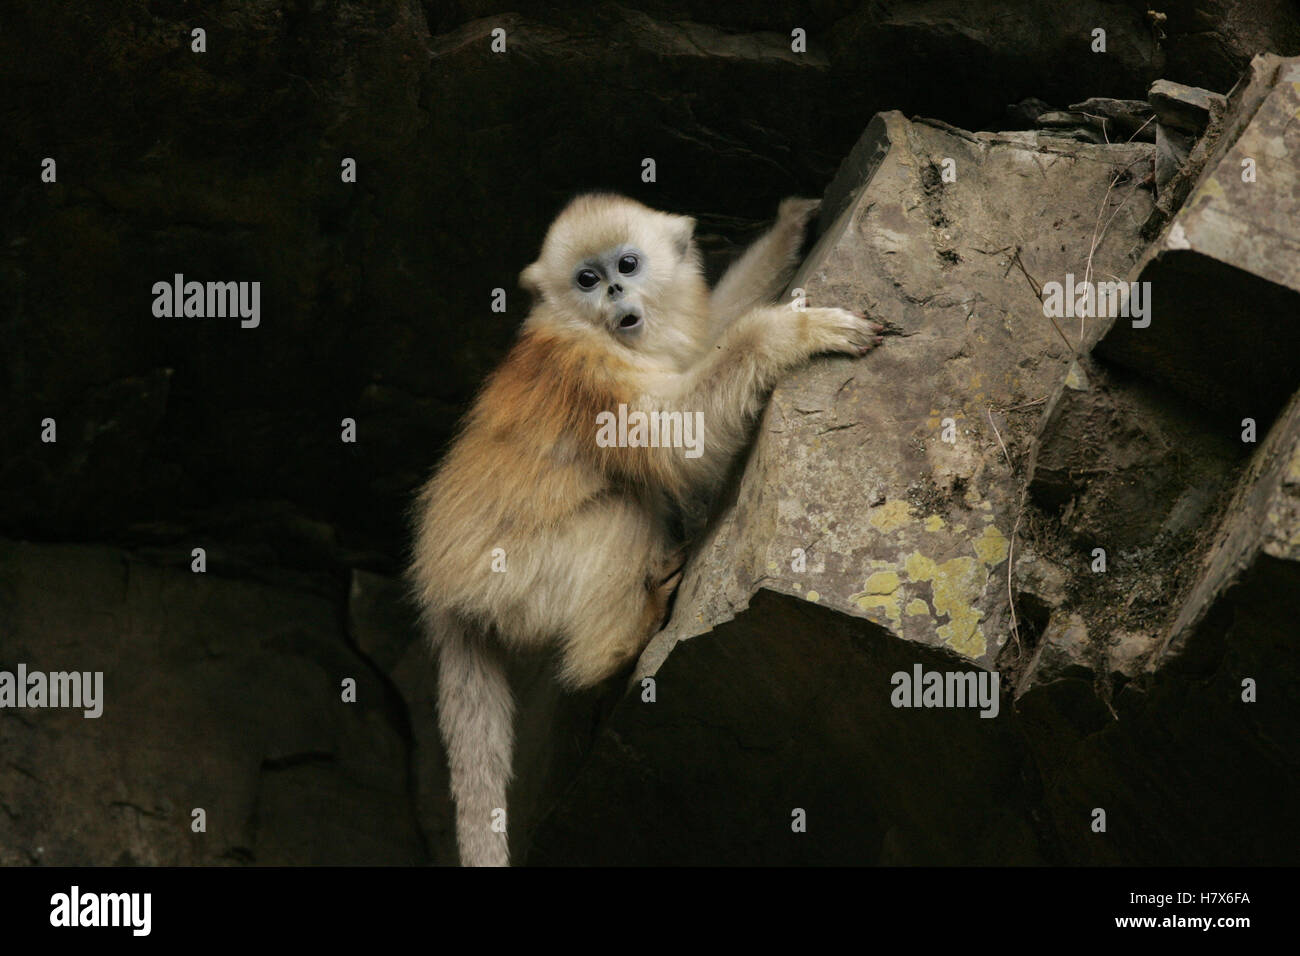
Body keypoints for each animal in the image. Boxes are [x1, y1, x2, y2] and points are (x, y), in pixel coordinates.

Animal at [408, 193, 882, 866]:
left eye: (627, 265)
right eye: (586, 279)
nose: (612, 292)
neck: (592, 330)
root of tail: (439, 596)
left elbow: (709, 339)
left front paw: (790, 228)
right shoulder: (588, 368)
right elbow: (673, 442)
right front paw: (791, 333)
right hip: (514, 578)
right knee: (627, 508)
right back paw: (614, 648)